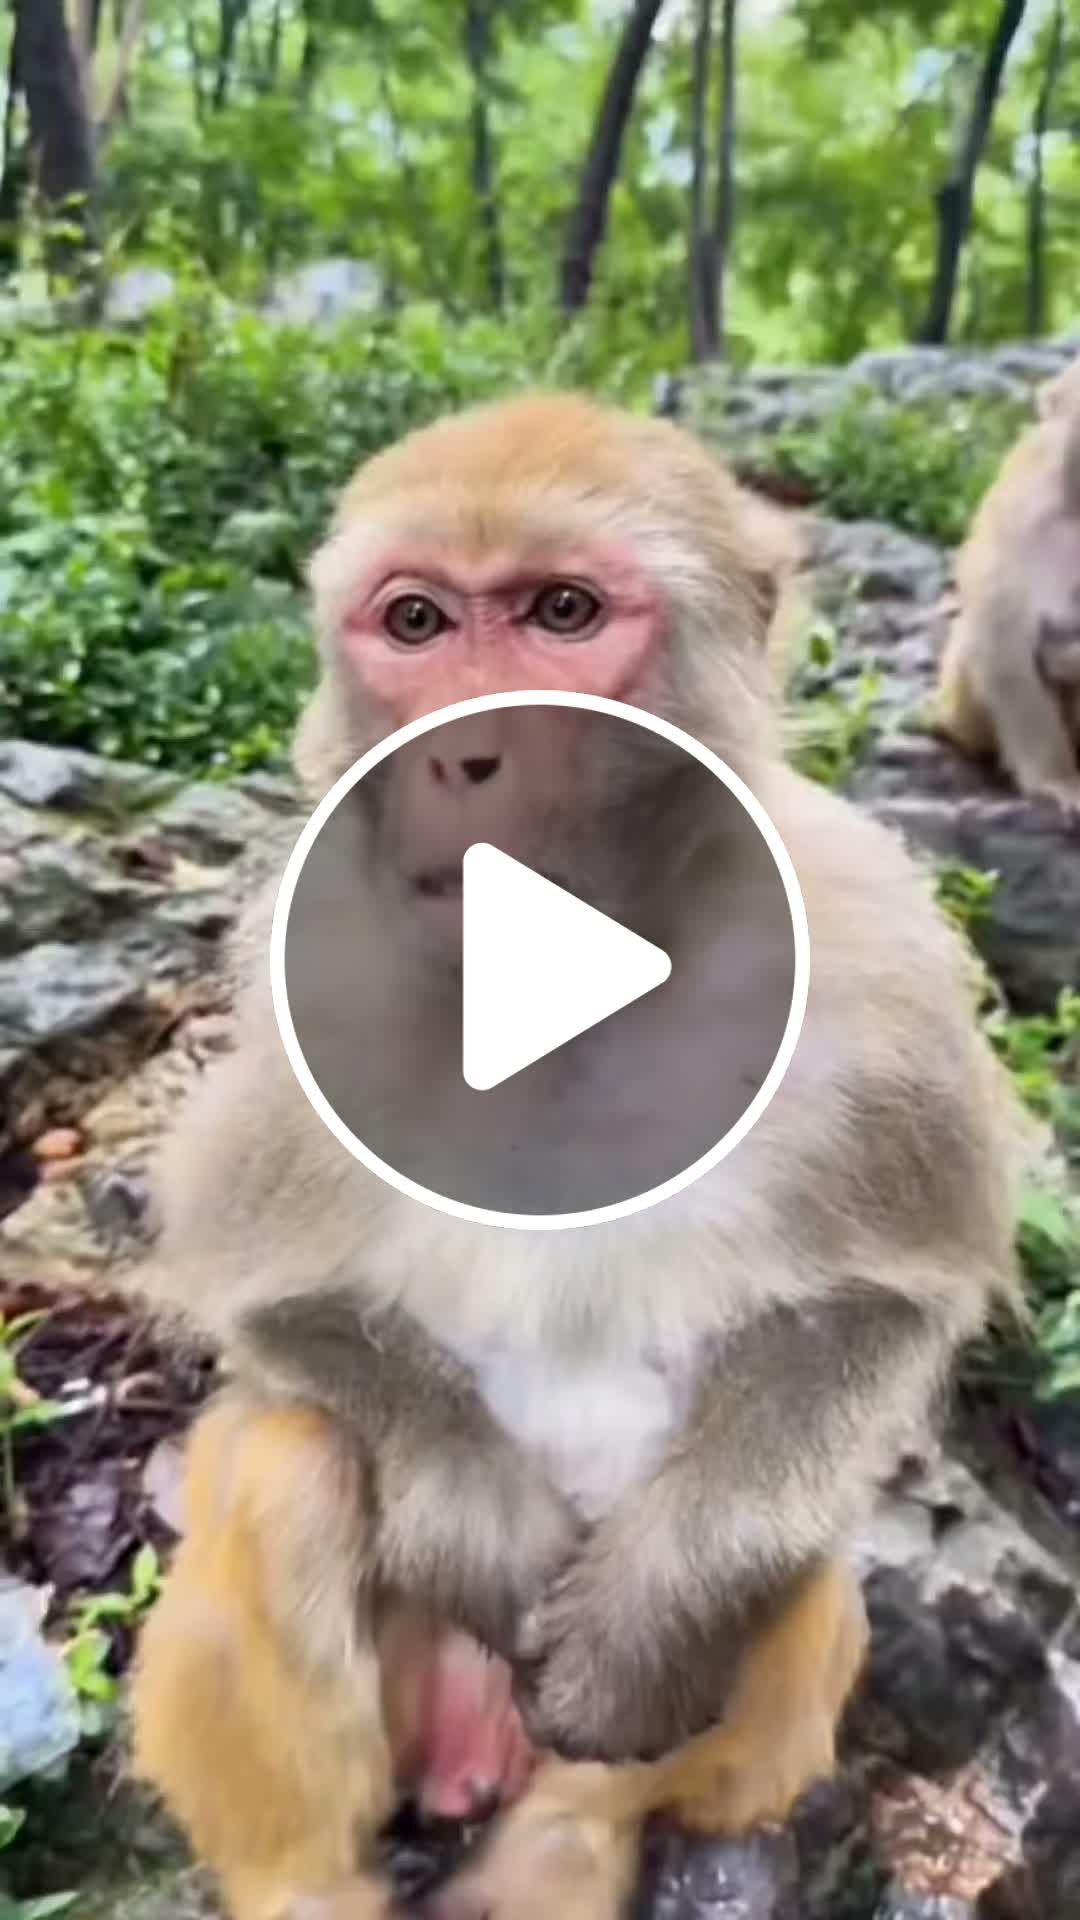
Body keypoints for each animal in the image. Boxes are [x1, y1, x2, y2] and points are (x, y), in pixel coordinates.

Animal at [129, 392, 1023, 1920]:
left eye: (563, 612)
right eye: (417, 621)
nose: (462, 752)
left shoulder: (876, 952)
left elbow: (887, 1299)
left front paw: (642, 1630)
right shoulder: (311, 962)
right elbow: (265, 1292)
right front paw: (476, 1517)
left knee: (796, 1571)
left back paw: (570, 1836)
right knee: (291, 1466)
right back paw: (311, 1882)